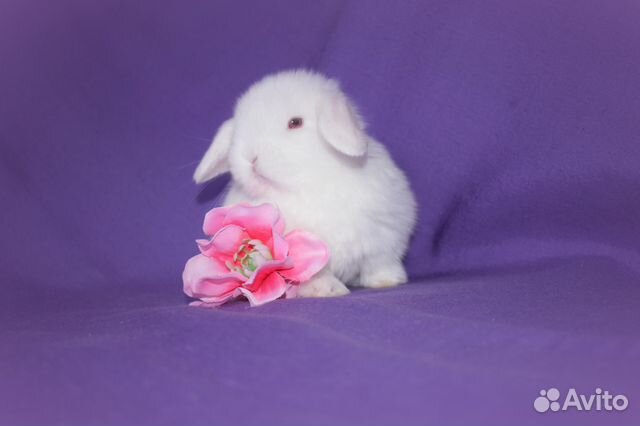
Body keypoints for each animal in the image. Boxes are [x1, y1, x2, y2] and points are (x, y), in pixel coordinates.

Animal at [193, 69, 417, 298]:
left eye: (295, 122)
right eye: (238, 131)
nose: (250, 157)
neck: (303, 187)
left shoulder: (385, 236)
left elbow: (379, 263)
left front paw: (388, 281)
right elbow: (315, 274)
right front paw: (327, 289)